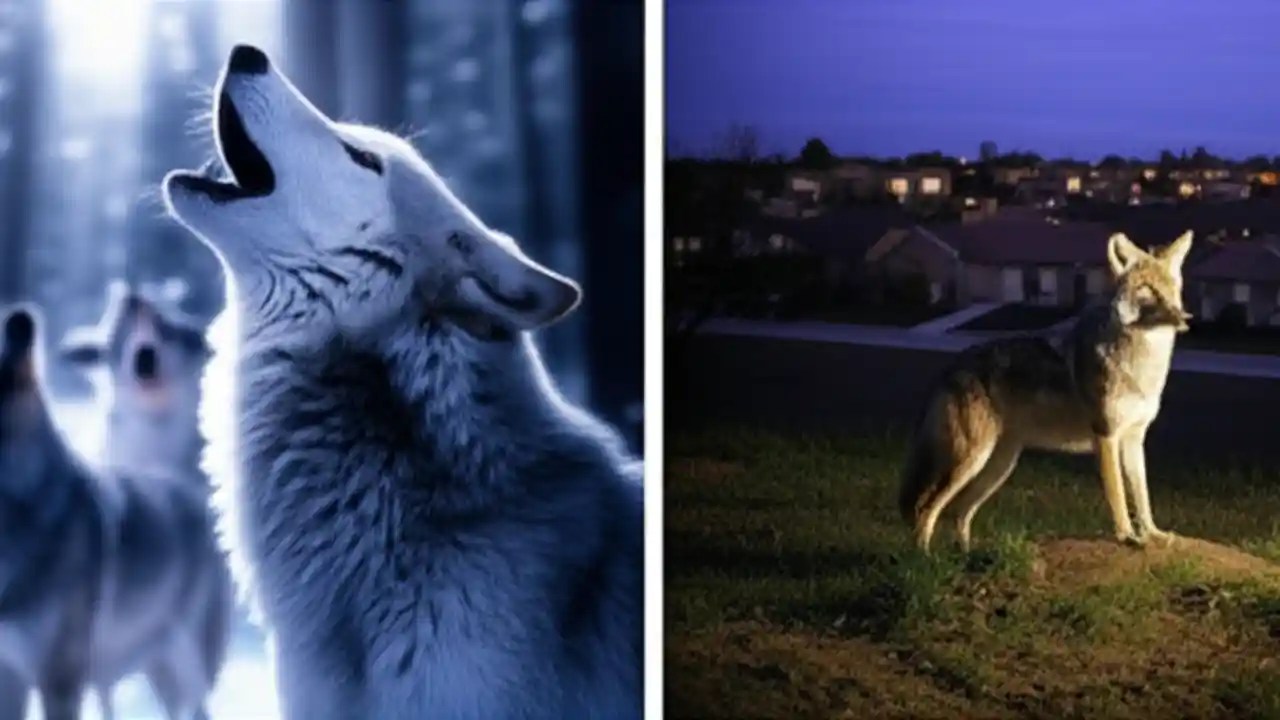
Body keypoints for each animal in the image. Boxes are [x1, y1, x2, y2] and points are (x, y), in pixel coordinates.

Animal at [900, 230, 1194, 553]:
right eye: (1148, 290)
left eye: (1173, 289)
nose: (1184, 317)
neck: (1143, 366)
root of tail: (948, 368)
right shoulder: (1106, 436)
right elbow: (1118, 495)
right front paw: (1126, 536)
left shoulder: (1133, 439)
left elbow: (1142, 497)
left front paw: (1152, 534)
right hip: (968, 461)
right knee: (926, 508)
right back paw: (924, 558)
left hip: (997, 467)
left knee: (960, 512)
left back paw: (966, 556)